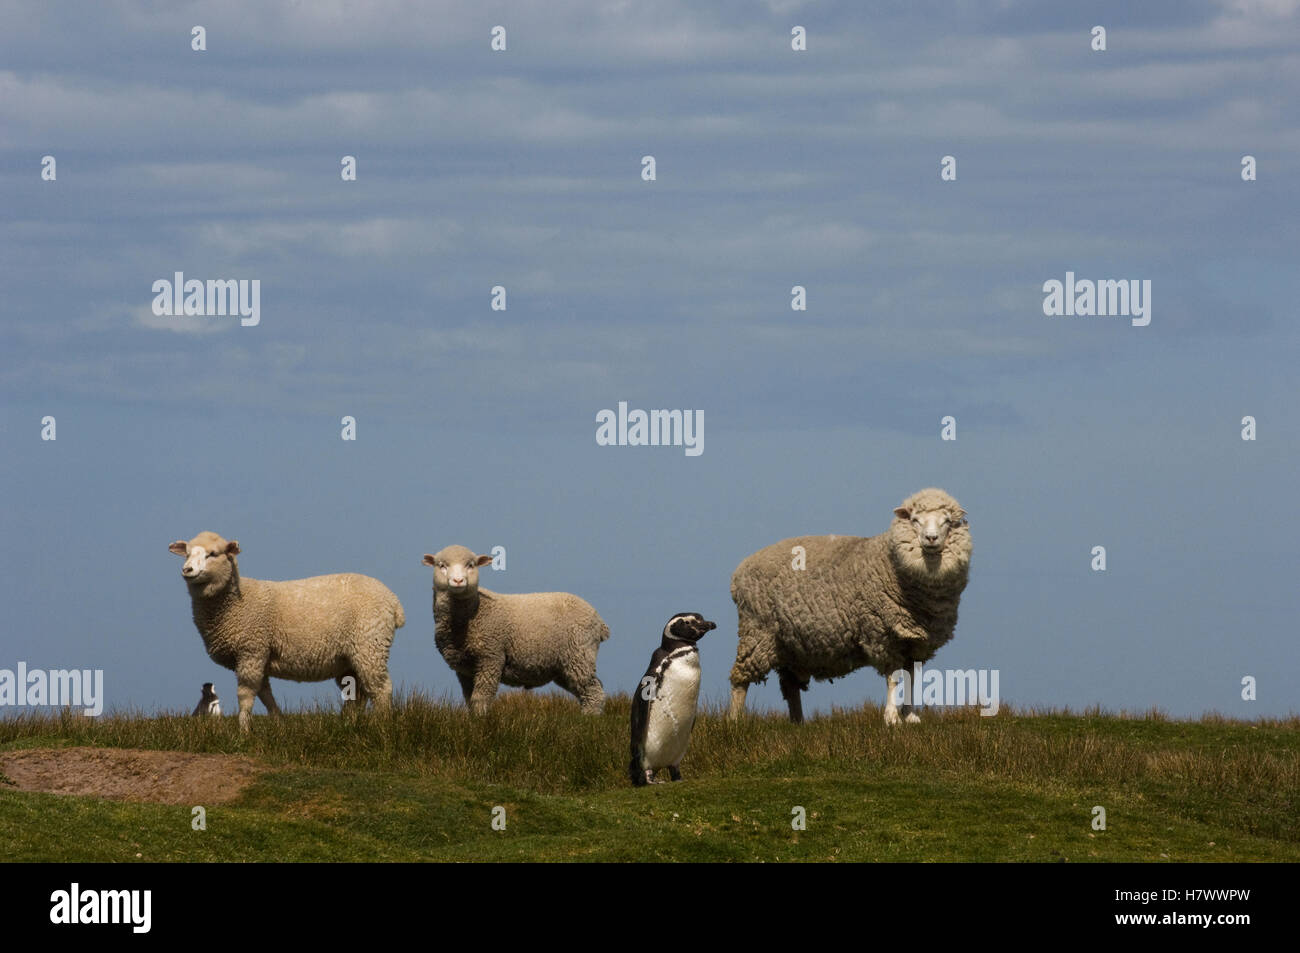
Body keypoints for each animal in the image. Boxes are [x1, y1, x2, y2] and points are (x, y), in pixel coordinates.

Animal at [168, 531, 405, 731]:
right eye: (187, 554)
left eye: (213, 554)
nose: (187, 570)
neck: (235, 602)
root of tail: (394, 601)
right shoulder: (258, 655)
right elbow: (265, 693)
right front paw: (278, 722)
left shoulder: (251, 650)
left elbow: (246, 694)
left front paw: (243, 730)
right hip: (350, 658)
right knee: (357, 692)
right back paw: (348, 723)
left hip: (370, 645)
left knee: (381, 688)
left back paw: (381, 725)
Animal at [422, 544, 610, 714]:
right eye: (441, 565)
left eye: (471, 565)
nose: (458, 581)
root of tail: (599, 620)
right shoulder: (464, 668)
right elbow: (470, 699)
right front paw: (473, 720)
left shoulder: (491, 657)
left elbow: (481, 697)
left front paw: (481, 721)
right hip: (564, 667)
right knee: (588, 691)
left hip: (579, 655)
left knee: (594, 692)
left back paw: (589, 721)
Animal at [727, 487, 972, 726]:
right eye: (915, 520)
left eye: (947, 521)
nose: (931, 538)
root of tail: (740, 570)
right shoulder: (882, 635)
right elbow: (893, 678)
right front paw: (892, 718)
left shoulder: (914, 642)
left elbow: (911, 678)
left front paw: (911, 716)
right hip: (757, 632)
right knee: (740, 679)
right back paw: (735, 720)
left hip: (789, 644)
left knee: (790, 686)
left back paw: (798, 723)